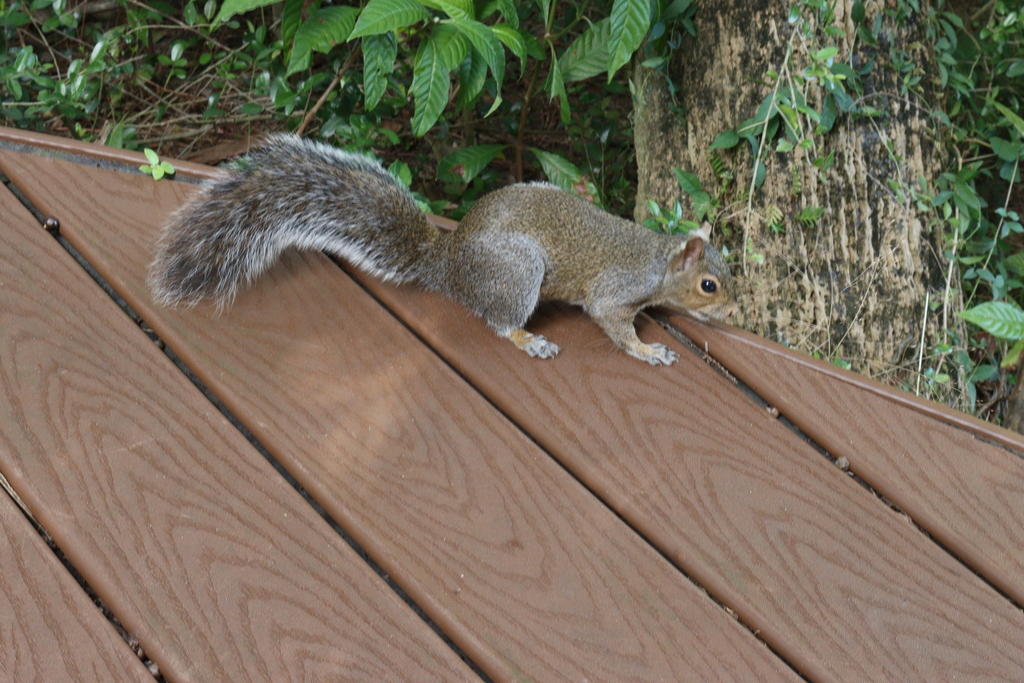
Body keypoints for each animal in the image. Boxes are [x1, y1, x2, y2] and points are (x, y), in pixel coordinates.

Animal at [149, 134, 737, 366]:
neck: (656, 258)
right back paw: (529, 339)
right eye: (708, 284)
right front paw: (648, 350)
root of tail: (448, 263)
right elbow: (613, 321)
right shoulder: (614, 292)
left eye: (728, 270)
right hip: (518, 271)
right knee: (500, 321)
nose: (733, 310)